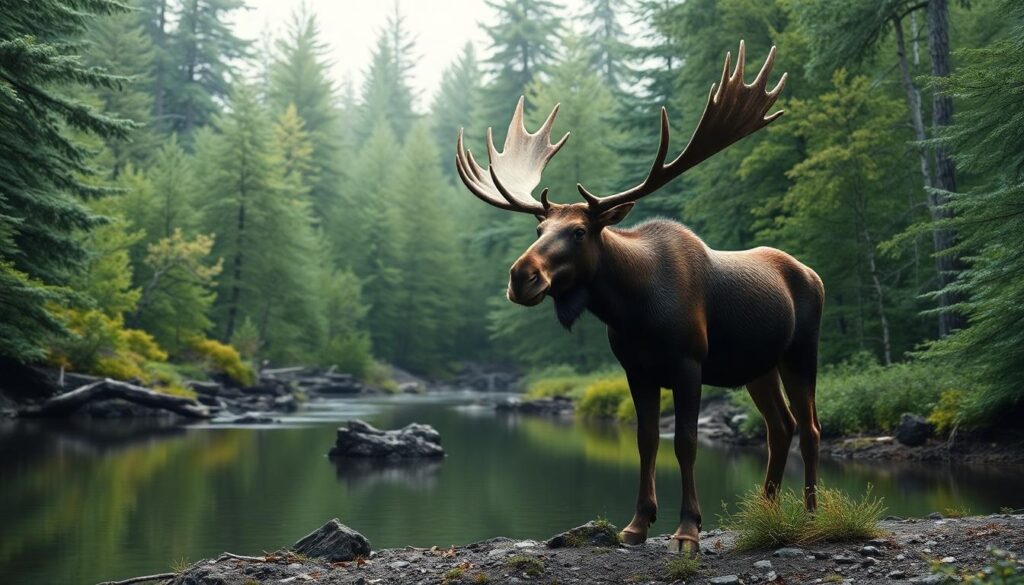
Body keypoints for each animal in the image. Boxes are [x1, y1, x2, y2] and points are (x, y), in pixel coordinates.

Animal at [455, 41, 823, 553]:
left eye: (579, 231)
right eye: (538, 230)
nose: (520, 276)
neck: (634, 309)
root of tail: (812, 274)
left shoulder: (689, 363)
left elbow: (684, 441)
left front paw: (687, 529)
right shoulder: (636, 369)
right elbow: (646, 440)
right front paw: (637, 524)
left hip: (801, 352)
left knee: (810, 427)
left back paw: (810, 512)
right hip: (758, 366)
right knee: (779, 426)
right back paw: (766, 511)